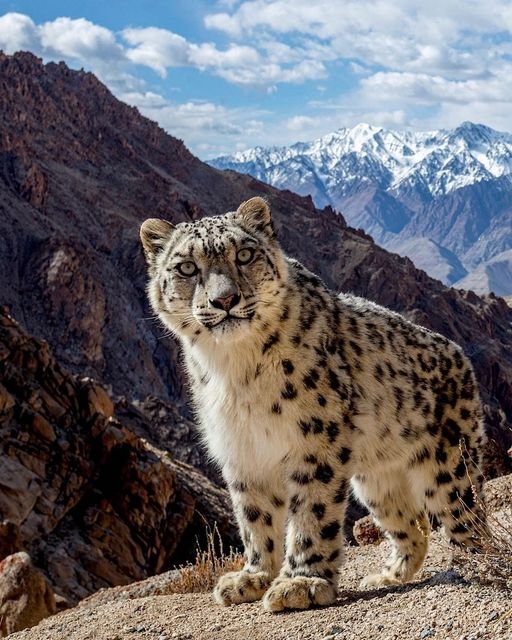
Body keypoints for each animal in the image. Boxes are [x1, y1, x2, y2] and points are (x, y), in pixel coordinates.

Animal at [140, 196, 486, 613]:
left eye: (244, 254)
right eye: (187, 267)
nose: (224, 300)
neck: (234, 369)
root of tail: (460, 355)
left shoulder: (315, 440)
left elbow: (311, 512)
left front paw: (301, 583)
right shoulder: (241, 449)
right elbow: (254, 517)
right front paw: (252, 577)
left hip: (449, 468)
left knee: (469, 519)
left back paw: (477, 563)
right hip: (377, 482)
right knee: (413, 524)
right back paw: (387, 576)